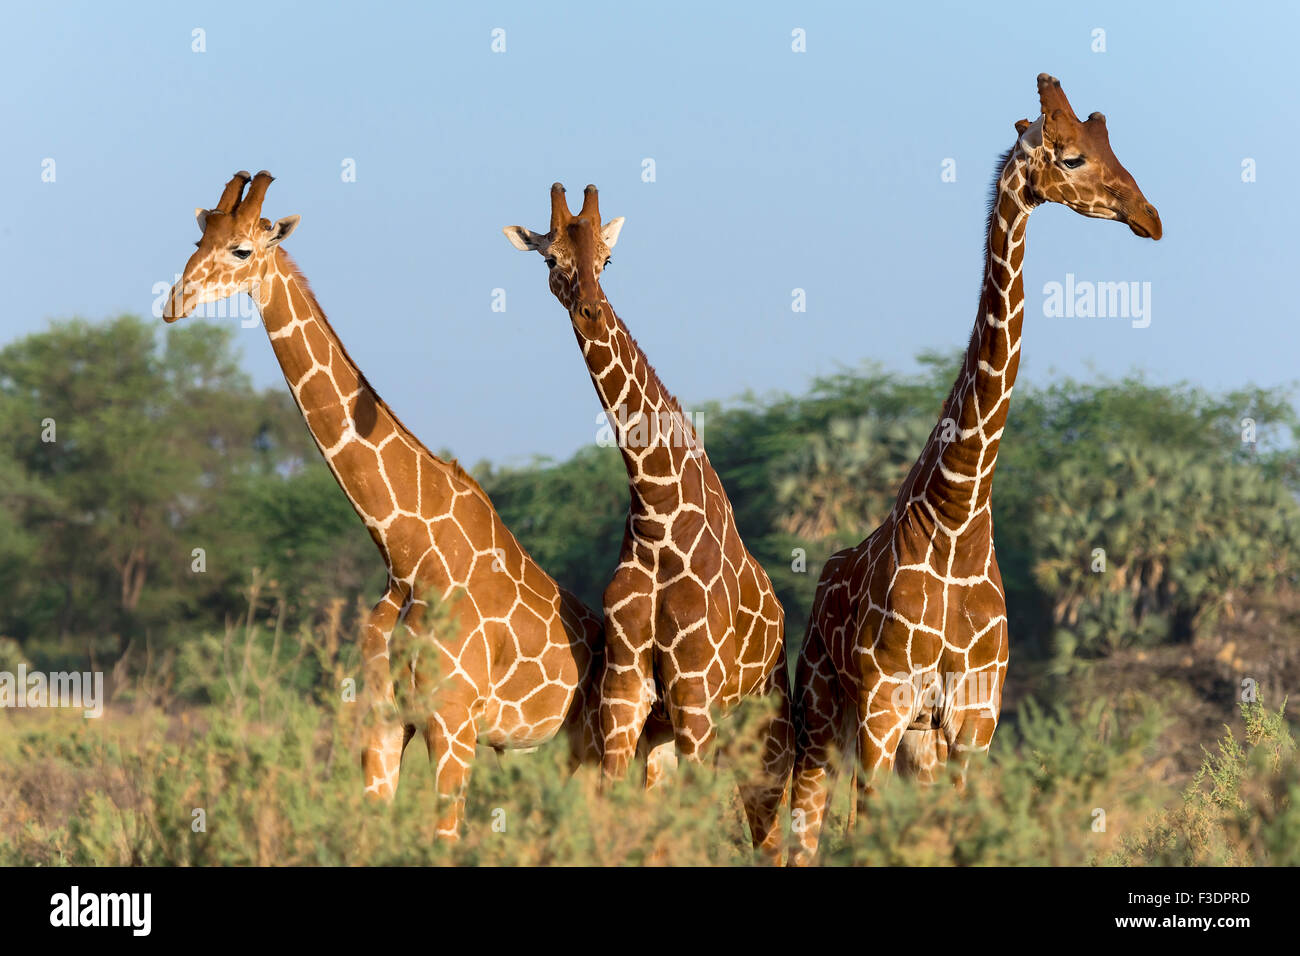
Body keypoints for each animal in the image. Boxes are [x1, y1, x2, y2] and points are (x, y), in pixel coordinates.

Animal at [162, 171, 669, 837]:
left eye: (241, 249)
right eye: (198, 239)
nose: (174, 302)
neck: (406, 553)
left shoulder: (452, 724)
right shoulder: (380, 722)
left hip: (601, 740)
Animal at [504, 184, 794, 858]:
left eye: (607, 259)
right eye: (551, 257)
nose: (588, 308)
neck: (658, 508)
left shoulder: (695, 695)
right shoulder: (627, 694)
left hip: (762, 725)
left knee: (767, 830)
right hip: (665, 733)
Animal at [788, 75, 1162, 864]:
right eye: (1073, 155)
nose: (1150, 217)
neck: (958, 512)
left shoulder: (971, 721)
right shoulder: (883, 709)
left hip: (916, 744)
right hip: (821, 724)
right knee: (800, 835)